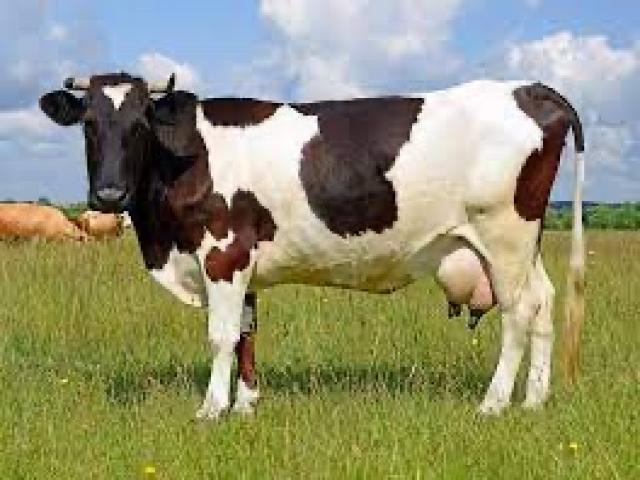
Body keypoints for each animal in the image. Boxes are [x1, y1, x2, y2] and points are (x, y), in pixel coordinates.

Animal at [39, 73, 585, 419]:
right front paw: (247, 404)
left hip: (504, 235)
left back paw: (494, 403)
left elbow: (220, 336)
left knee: (517, 313)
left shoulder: (223, 252)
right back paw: (534, 401)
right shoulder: (245, 263)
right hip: (523, 244)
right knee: (544, 302)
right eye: (89, 124)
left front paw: (212, 408)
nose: (109, 194)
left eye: (140, 124)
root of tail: (528, 89)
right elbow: (247, 333)